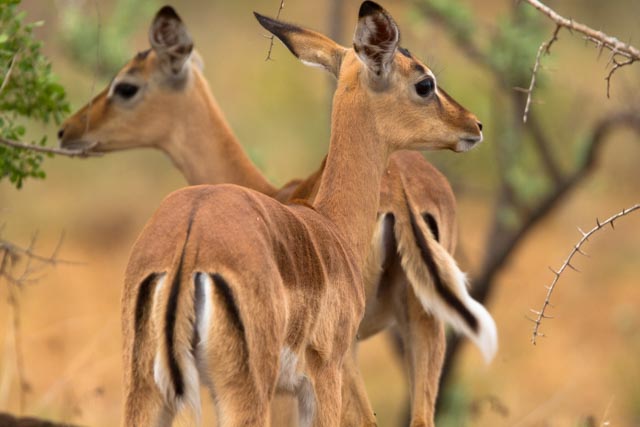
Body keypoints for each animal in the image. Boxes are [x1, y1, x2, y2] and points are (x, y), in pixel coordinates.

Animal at [59, 4, 496, 425]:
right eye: (425, 83)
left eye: (125, 86)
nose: (474, 124)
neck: (327, 221)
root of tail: (189, 247)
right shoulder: (322, 375)